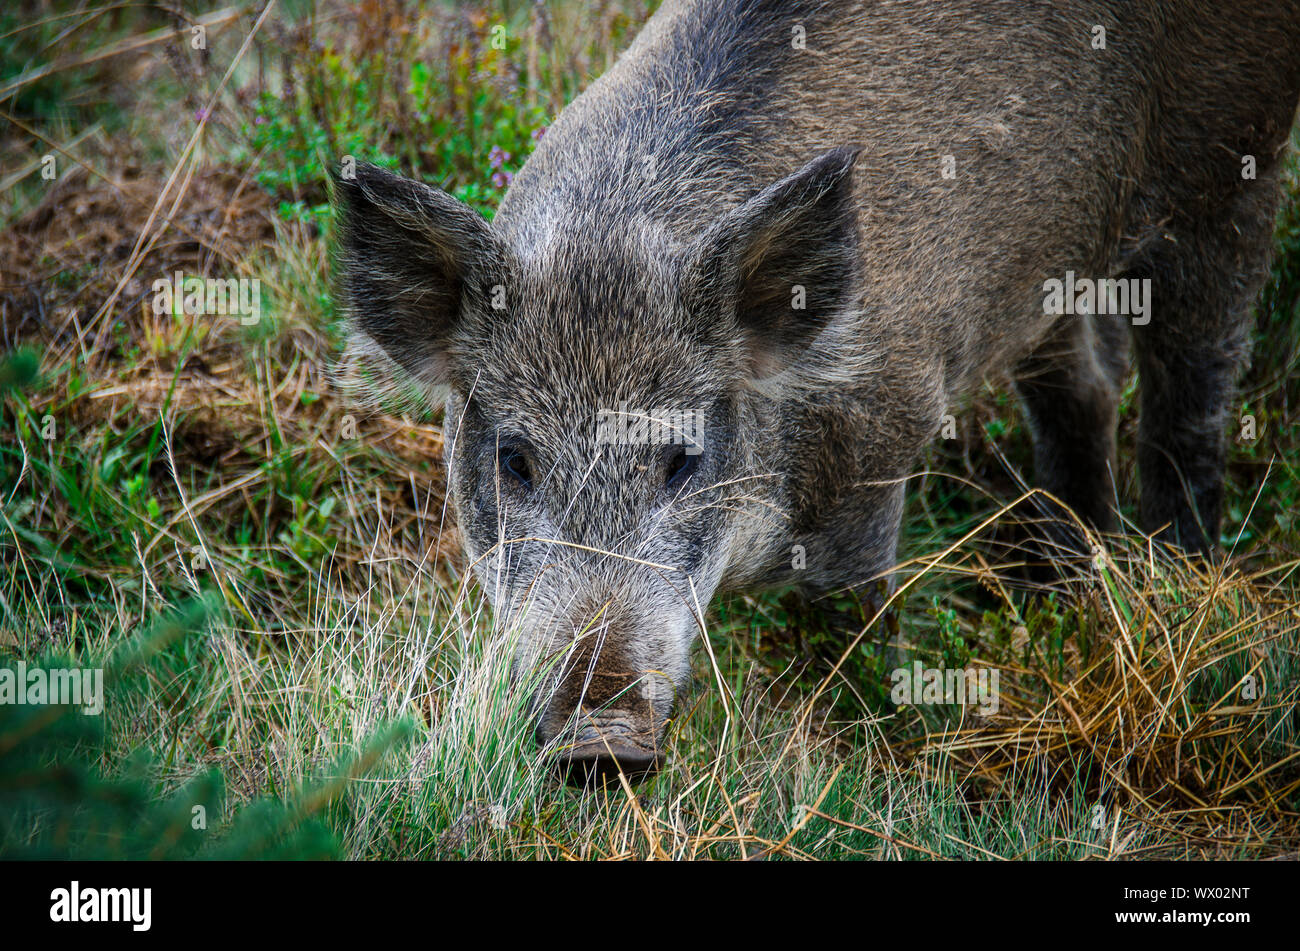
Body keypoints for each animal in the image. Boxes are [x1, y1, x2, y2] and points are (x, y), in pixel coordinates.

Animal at [333, 0, 1300, 783]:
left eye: (682, 458)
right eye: (515, 458)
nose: (598, 736)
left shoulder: (889, 431)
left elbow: (855, 623)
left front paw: (871, 728)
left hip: (1234, 157)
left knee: (1194, 384)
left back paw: (1178, 579)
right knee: (1087, 388)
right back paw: (1065, 589)